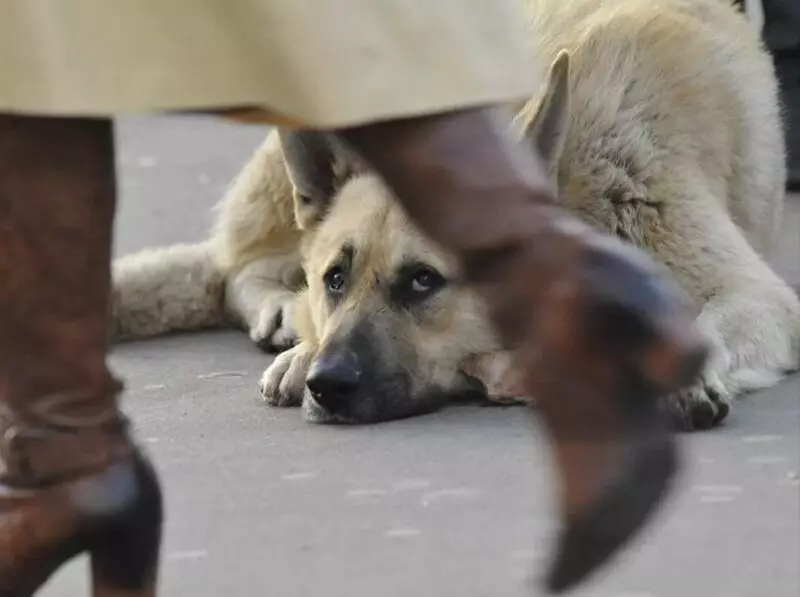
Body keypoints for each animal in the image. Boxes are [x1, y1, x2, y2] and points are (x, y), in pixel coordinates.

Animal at [111, 0, 800, 428]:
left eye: (424, 281)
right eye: (337, 278)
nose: (328, 383)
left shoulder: (752, 295)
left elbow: (708, 325)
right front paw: (305, 349)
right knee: (236, 266)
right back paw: (285, 313)